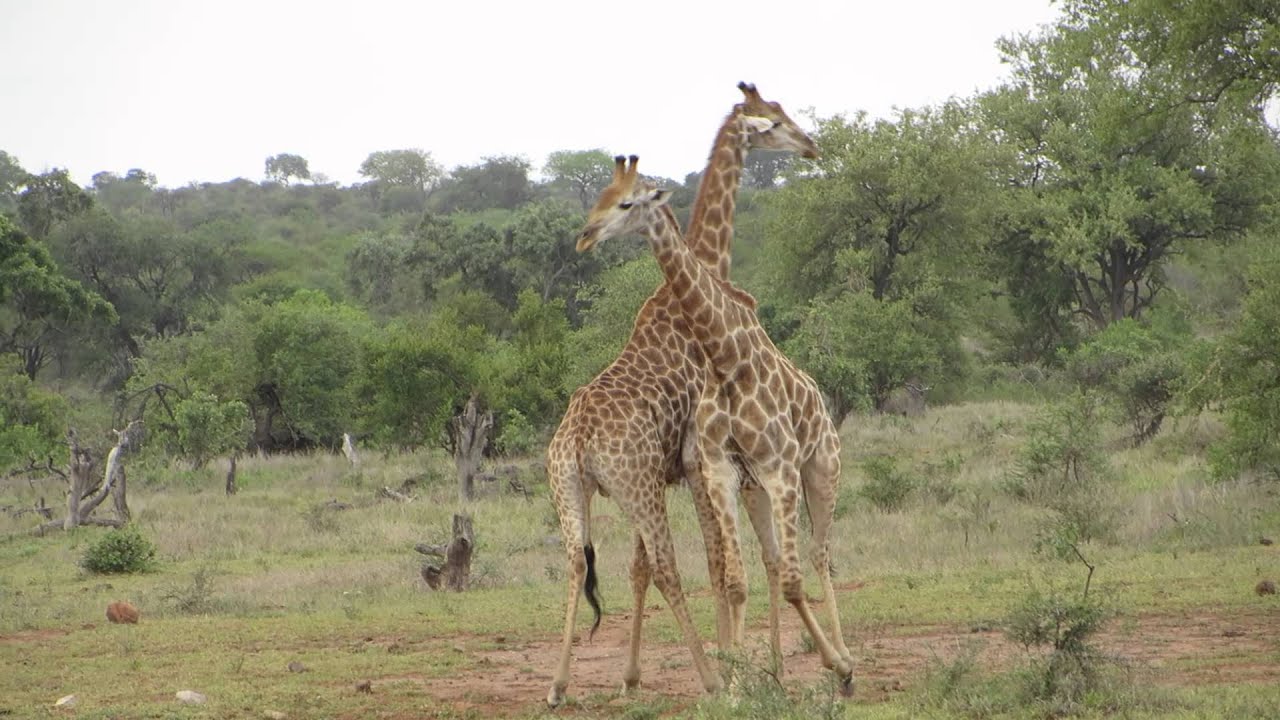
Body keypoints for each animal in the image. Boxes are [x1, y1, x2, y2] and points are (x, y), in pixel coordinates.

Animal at [544, 84, 818, 707]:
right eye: (775, 120)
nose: (811, 145)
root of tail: (577, 440)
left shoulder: (678, 471)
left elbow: (640, 570)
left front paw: (631, 675)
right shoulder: (694, 463)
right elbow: (715, 568)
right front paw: (732, 666)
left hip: (574, 490)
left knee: (576, 564)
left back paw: (558, 685)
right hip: (637, 487)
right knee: (671, 566)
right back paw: (713, 679)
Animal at [576, 156, 855, 694]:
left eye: (627, 203)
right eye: (601, 196)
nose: (585, 235)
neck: (727, 359)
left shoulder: (780, 468)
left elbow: (790, 579)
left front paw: (835, 666)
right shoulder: (724, 472)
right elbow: (736, 579)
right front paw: (740, 680)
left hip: (821, 468)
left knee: (817, 554)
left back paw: (845, 658)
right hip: (755, 488)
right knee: (775, 560)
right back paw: (780, 666)